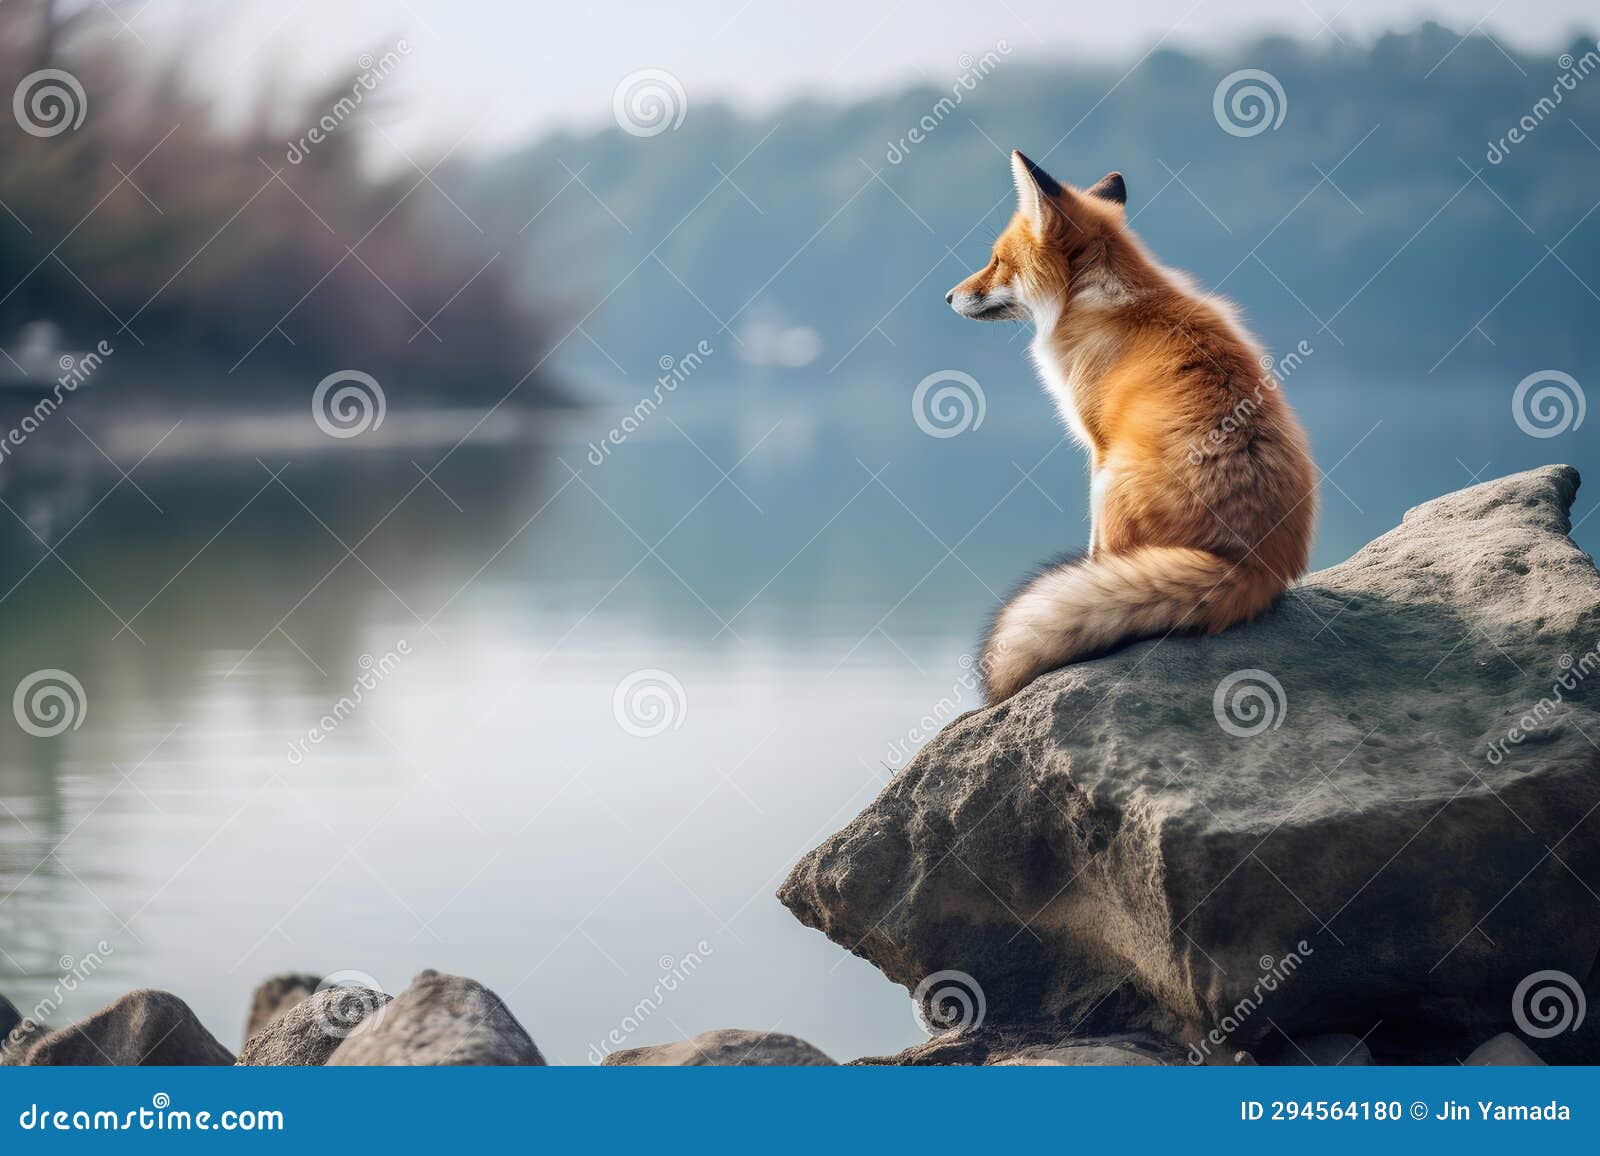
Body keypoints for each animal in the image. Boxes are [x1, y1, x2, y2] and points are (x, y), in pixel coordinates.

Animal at [946, 150, 1316, 703]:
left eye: (997, 261)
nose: (948, 297)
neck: (1099, 300)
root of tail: (1253, 566)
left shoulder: (1097, 447)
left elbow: (1094, 553)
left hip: (1113, 482)